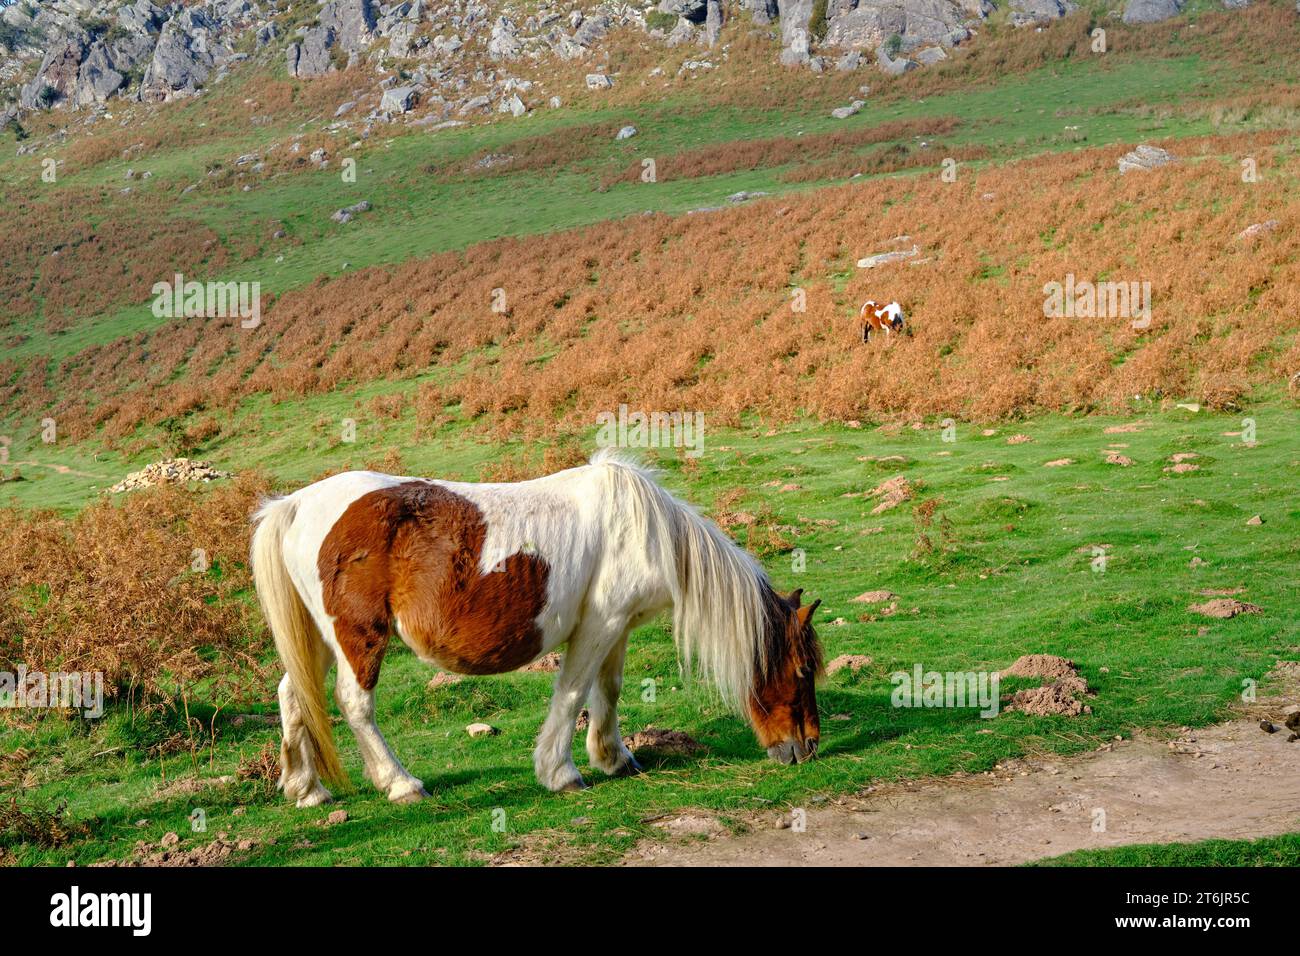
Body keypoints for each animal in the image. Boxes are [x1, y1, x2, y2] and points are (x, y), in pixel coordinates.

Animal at [250, 450, 824, 806]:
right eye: (801, 672)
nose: (808, 748)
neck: (647, 530)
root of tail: (295, 503)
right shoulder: (598, 625)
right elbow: (572, 693)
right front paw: (562, 772)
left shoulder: (617, 627)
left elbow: (609, 689)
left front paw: (614, 757)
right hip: (357, 635)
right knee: (354, 703)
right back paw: (401, 784)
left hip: (320, 638)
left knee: (294, 694)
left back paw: (305, 789)